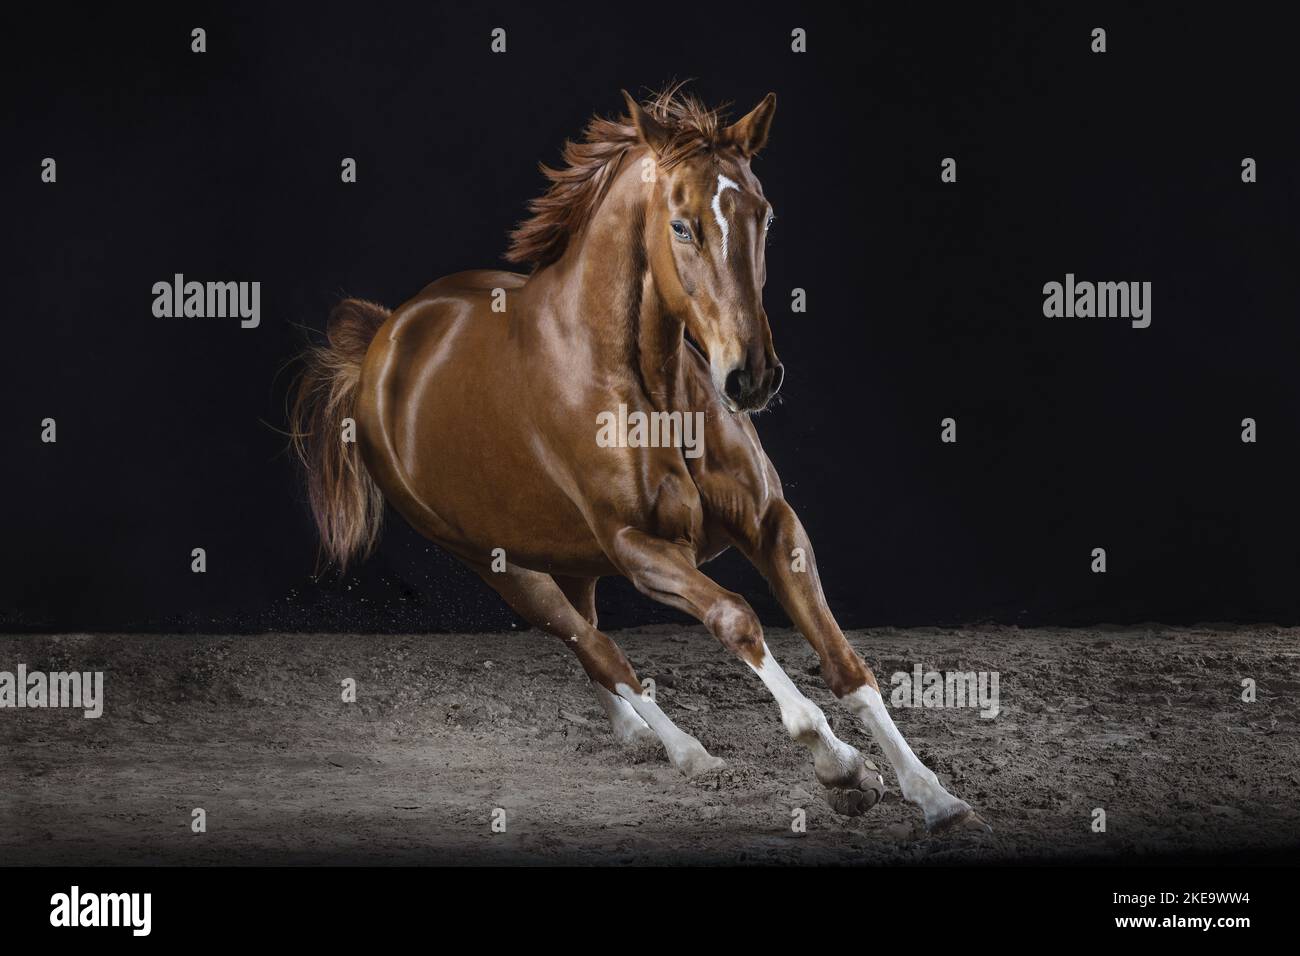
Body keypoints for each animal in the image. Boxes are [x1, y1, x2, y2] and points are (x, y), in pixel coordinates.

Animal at [290, 85, 988, 833]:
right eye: (682, 227)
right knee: (595, 648)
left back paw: (635, 733)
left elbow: (844, 661)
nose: (753, 378)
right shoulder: (641, 550)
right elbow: (735, 618)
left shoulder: (772, 523)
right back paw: (689, 753)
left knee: (592, 645)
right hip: (497, 565)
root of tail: (381, 343)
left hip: (570, 560)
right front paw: (839, 767)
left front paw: (933, 795)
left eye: (764, 215)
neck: (646, 386)